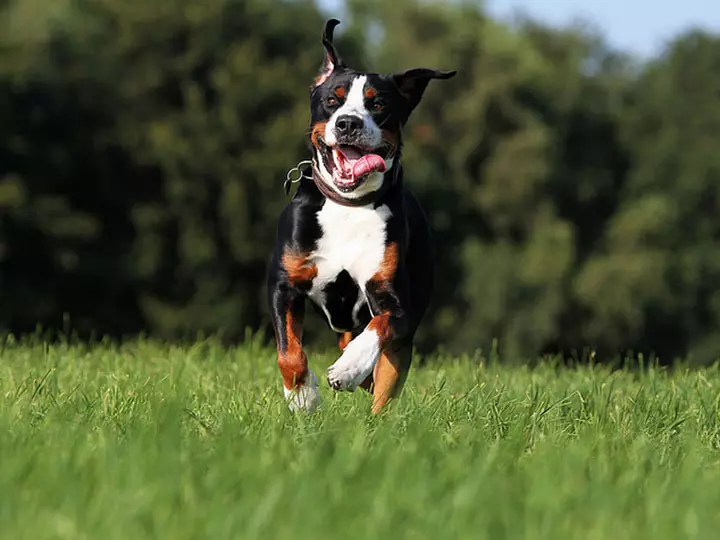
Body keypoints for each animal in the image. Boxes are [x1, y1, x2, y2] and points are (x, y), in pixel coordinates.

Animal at [264, 17, 456, 414]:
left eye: (378, 103)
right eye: (331, 100)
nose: (349, 123)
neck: (349, 207)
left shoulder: (396, 300)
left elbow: (380, 327)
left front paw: (349, 369)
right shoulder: (283, 284)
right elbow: (289, 351)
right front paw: (303, 394)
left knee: (385, 380)